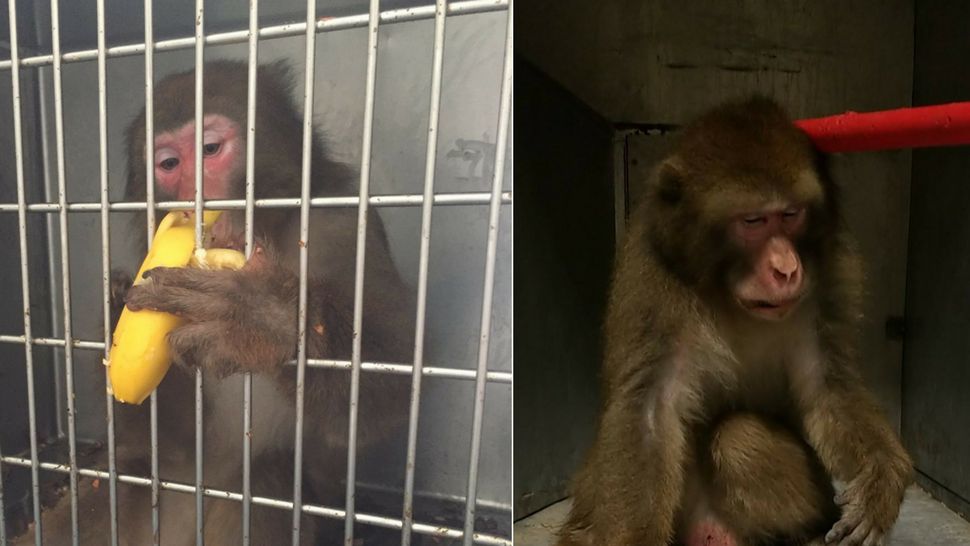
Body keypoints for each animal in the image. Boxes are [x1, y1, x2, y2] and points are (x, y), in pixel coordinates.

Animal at [12, 61, 415, 544]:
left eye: (210, 149)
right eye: (169, 164)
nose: (195, 194)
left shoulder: (343, 224)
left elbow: (387, 384)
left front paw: (258, 317)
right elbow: (167, 448)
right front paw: (116, 309)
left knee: (268, 478)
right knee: (124, 475)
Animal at [556, 97, 913, 546]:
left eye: (791, 215)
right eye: (753, 222)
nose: (786, 269)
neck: (730, 300)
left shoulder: (831, 272)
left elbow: (828, 385)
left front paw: (879, 480)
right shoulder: (652, 275)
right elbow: (649, 408)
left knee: (738, 440)